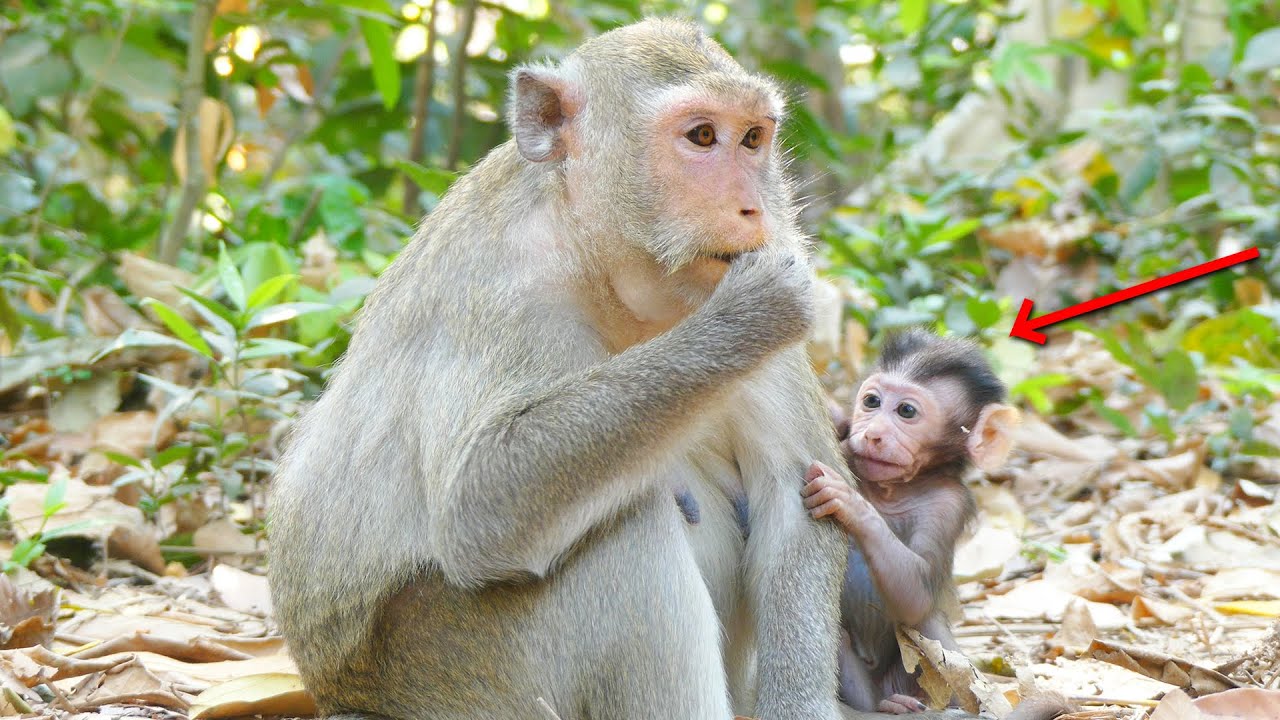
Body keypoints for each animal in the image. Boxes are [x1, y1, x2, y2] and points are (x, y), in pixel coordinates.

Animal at [268, 19, 854, 720]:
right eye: (702, 137)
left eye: (753, 138)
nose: (751, 209)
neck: (601, 260)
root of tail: (338, 690)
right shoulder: (500, 285)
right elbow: (478, 499)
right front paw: (747, 318)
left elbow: (800, 496)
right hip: (452, 670)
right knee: (624, 527)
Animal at [803, 329, 1022, 715]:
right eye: (871, 402)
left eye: (906, 411)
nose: (873, 434)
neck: (891, 491)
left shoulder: (947, 504)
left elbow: (916, 596)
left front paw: (849, 503)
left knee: (928, 622)